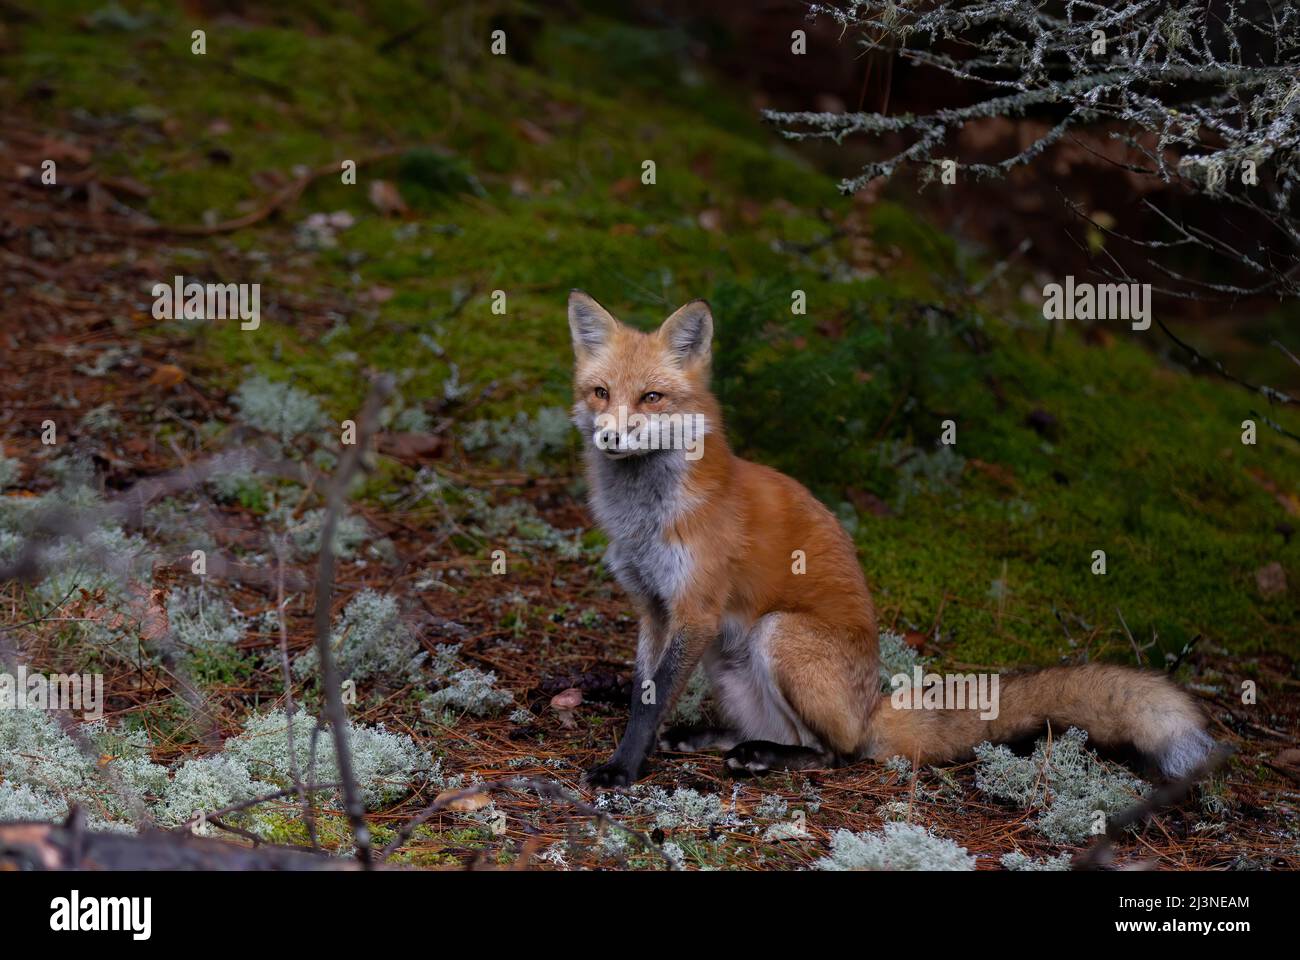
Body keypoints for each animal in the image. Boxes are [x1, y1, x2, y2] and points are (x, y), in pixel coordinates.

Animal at [567, 290, 1217, 789]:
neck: (644, 516)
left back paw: (770, 757)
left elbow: (652, 700)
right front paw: (637, 751)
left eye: (651, 397)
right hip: (729, 660)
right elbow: (643, 695)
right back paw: (716, 738)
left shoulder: (695, 608)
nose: (611, 437)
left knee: (838, 752)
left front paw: (623, 770)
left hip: (778, 634)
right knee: (779, 732)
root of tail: (871, 704)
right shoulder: (654, 609)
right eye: (601, 393)